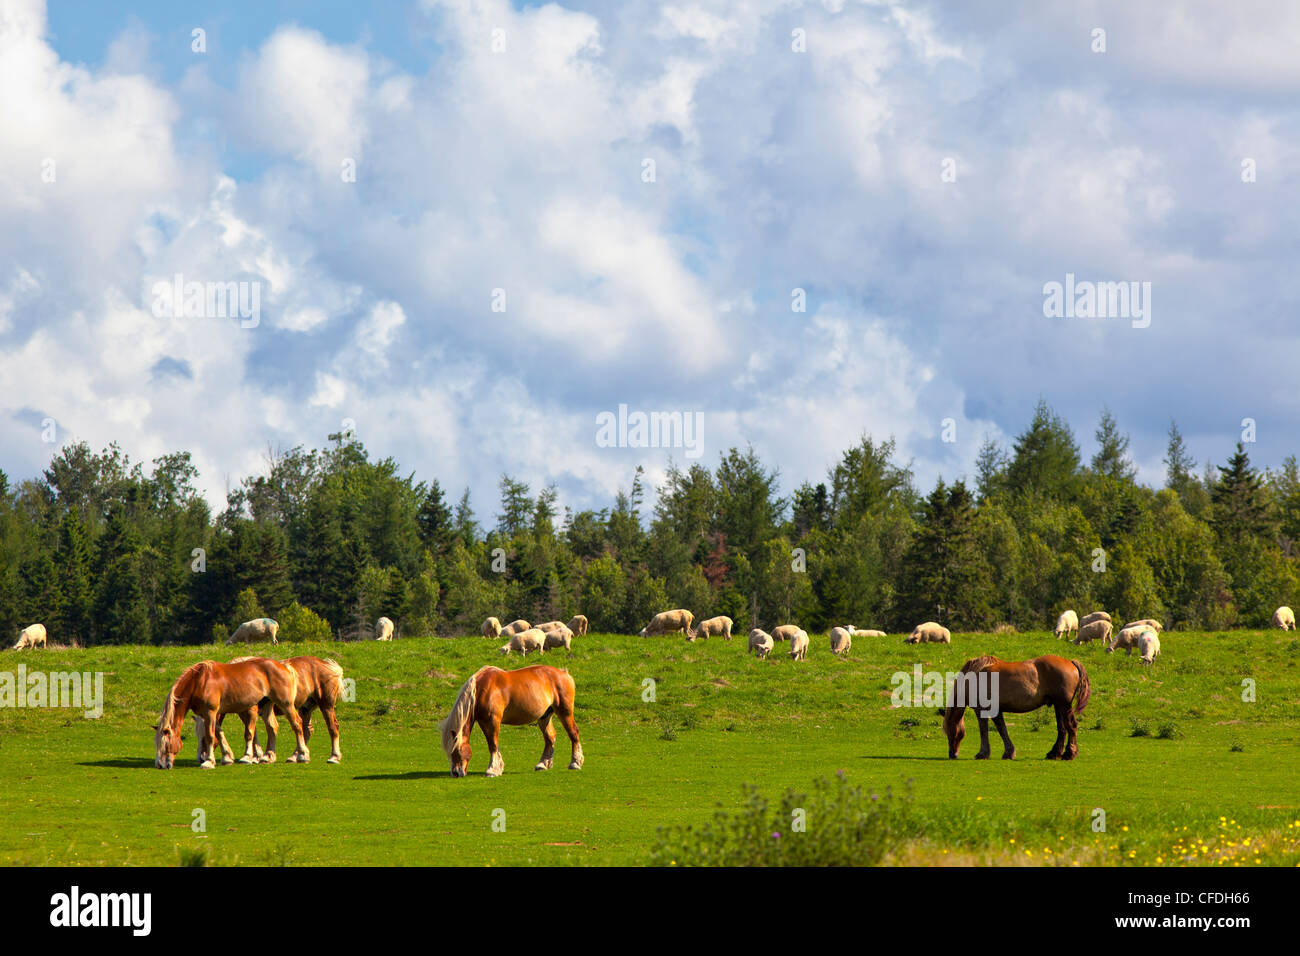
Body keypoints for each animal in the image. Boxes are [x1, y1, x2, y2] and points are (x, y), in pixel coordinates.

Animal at [155, 659, 307, 769]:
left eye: (166, 744)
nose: (160, 765)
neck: (199, 681)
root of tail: (284, 666)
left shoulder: (210, 712)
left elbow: (211, 736)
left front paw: (209, 762)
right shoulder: (210, 714)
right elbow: (219, 733)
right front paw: (227, 757)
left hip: (286, 704)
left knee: (297, 724)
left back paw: (302, 755)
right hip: (267, 705)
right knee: (272, 727)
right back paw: (268, 756)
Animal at [214, 656, 346, 764]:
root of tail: (329, 666)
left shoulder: (248, 711)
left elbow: (251, 732)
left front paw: (253, 756)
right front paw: (260, 756)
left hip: (326, 706)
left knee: (332, 727)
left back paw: (333, 757)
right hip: (306, 709)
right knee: (306, 730)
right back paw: (295, 756)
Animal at [438, 665, 584, 777]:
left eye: (456, 751)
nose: (455, 773)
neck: (481, 689)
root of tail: (564, 674)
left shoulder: (492, 720)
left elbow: (492, 744)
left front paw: (492, 770)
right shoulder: (483, 721)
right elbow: (492, 744)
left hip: (565, 712)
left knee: (573, 733)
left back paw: (575, 763)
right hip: (544, 717)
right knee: (550, 738)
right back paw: (543, 764)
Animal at [942, 654, 1091, 760]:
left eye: (949, 731)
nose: (952, 754)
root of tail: (1071, 662)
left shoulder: (981, 710)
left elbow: (984, 731)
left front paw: (982, 753)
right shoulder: (996, 710)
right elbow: (1002, 729)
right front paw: (1008, 752)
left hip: (1064, 704)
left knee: (1071, 726)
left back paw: (1069, 754)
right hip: (1058, 705)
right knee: (1062, 729)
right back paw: (1054, 753)